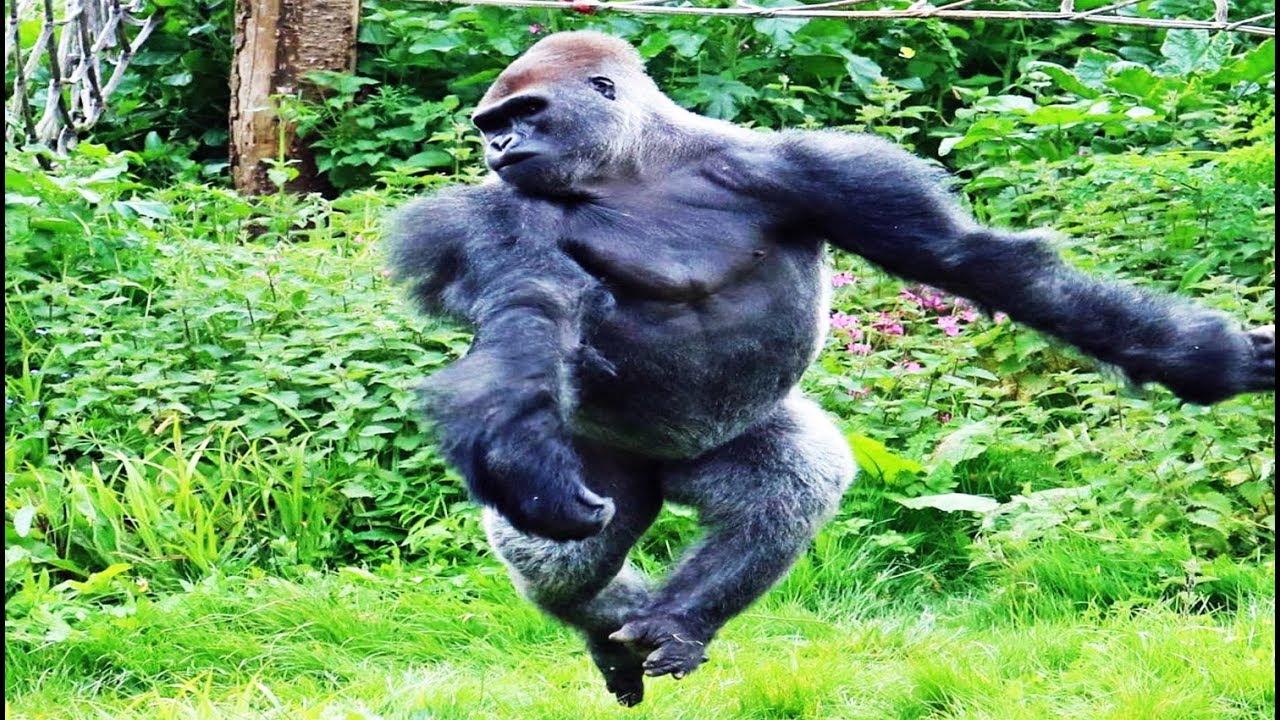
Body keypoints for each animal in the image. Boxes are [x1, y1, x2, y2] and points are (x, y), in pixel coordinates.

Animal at [389, 31, 1275, 706]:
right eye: (492, 125)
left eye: (525, 113)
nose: (498, 145)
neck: (641, 166)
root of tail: (665, 476)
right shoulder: (494, 213)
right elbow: (531, 305)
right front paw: (517, 453)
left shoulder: (822, 171)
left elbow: (970, 260)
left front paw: (1204, 359)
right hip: (604, 467)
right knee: (563, 563)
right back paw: (607, 628)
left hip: (719, 449)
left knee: (786, 483)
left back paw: (674, 624)